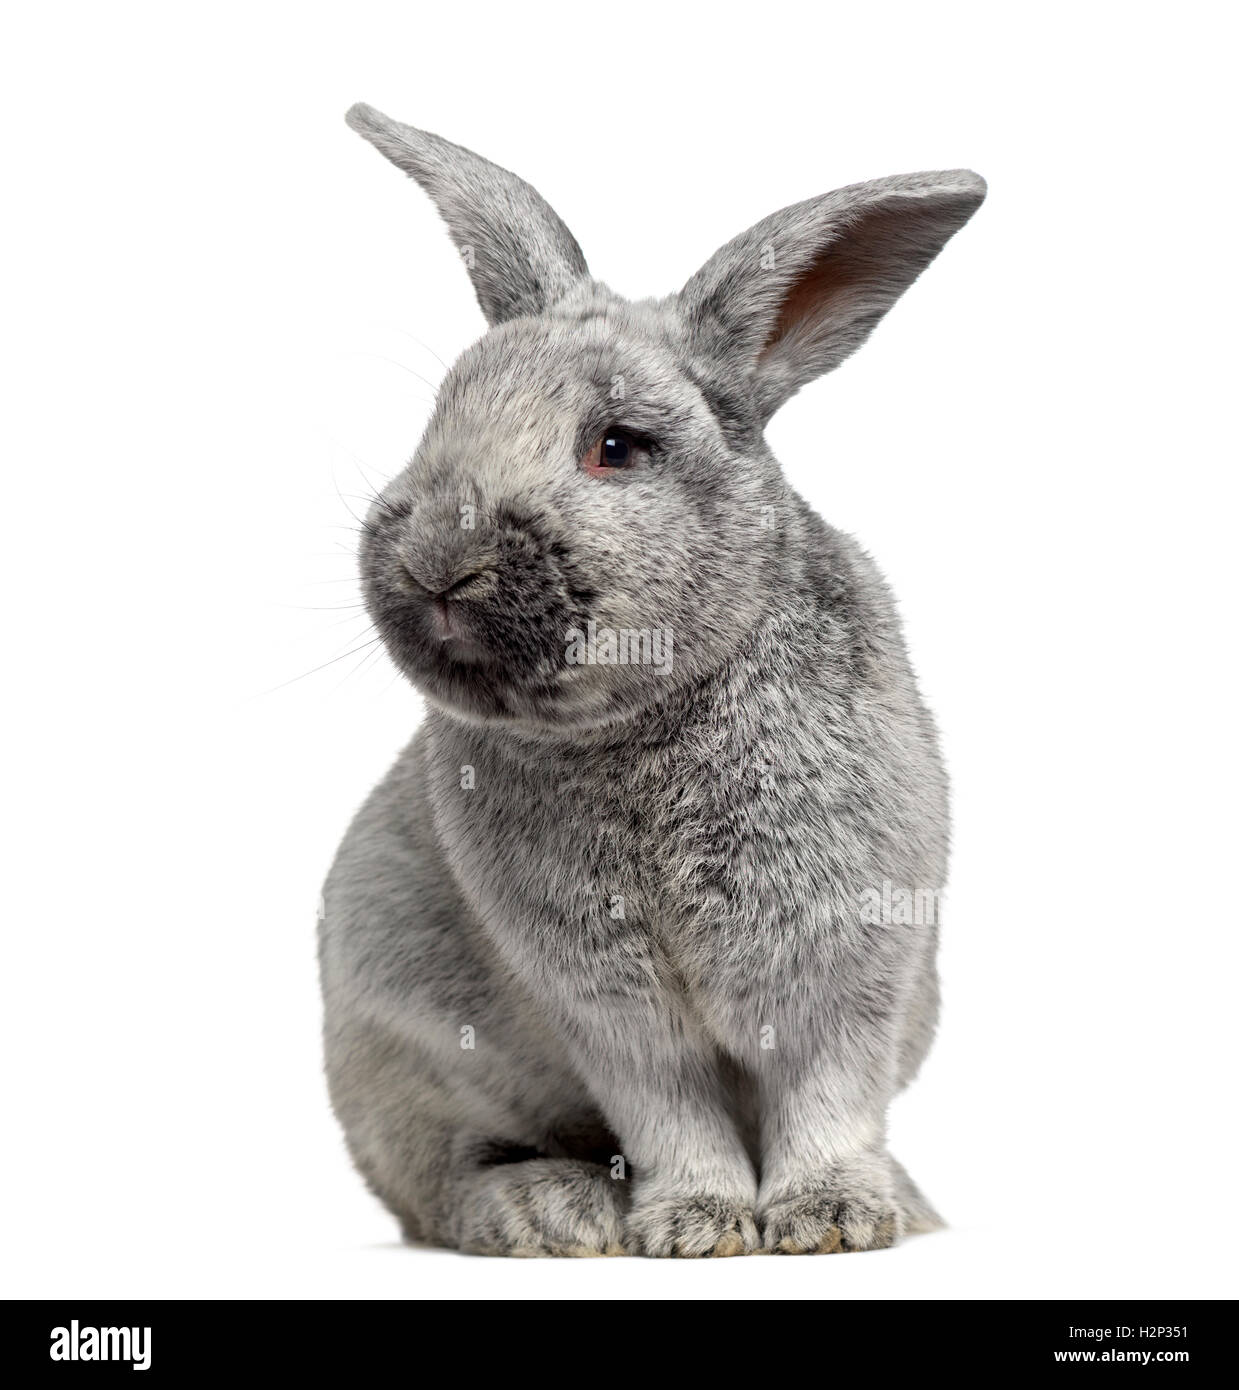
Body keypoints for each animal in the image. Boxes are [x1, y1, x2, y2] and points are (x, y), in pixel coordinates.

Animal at [319, 101, 985, 1257]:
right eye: (442, 414)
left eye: (617, 447)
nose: (439, 562)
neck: (638, 720)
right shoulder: (608, 1006)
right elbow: (671, 1111)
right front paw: (695, 1226)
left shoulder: (844, 963)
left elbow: (826, 1092)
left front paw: (830, 1219)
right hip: (390, 1050)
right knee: (441, 1180)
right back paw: (552, 1210)